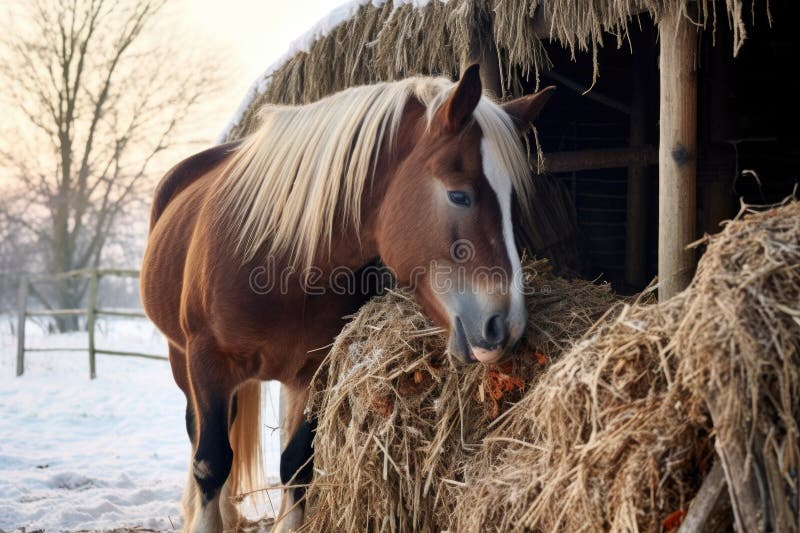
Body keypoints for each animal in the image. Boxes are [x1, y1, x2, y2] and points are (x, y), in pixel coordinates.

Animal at [141, 64, 554, 532]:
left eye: (511, 203)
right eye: (458, 194)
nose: (506, 324)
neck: (279, 259)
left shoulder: (311, 371)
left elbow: (296, 465)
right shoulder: (207, 364)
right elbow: (210, 459)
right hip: (181, 360)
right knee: (200, 436)